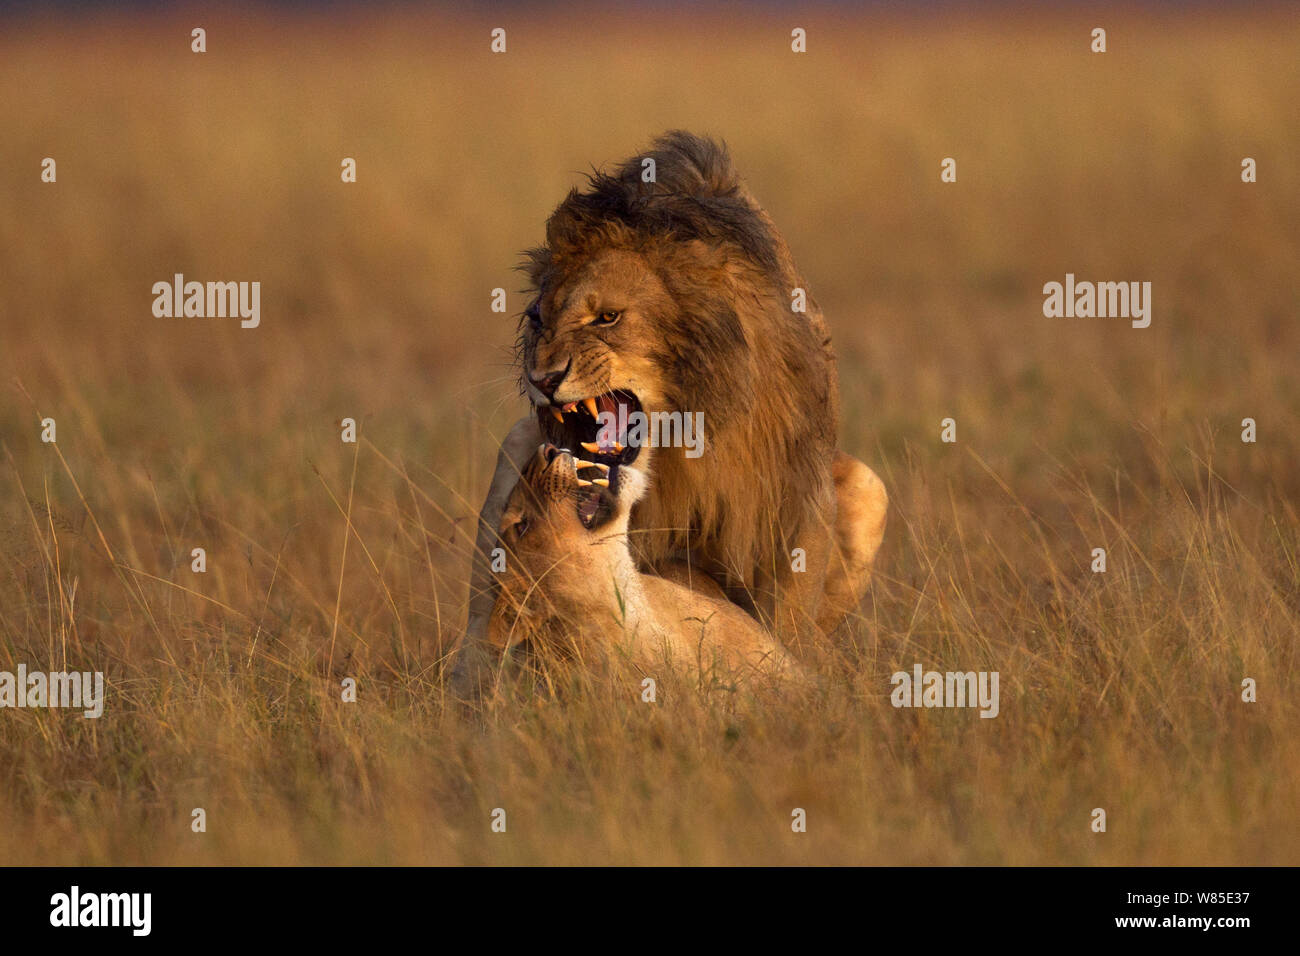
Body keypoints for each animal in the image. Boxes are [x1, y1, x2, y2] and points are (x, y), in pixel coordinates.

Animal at [452, 128, 889, 697]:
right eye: (537, 318)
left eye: (608, 317)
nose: (543, 379)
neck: (686, 433)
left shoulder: (796, 496)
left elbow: (789, 617)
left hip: (868, 487)